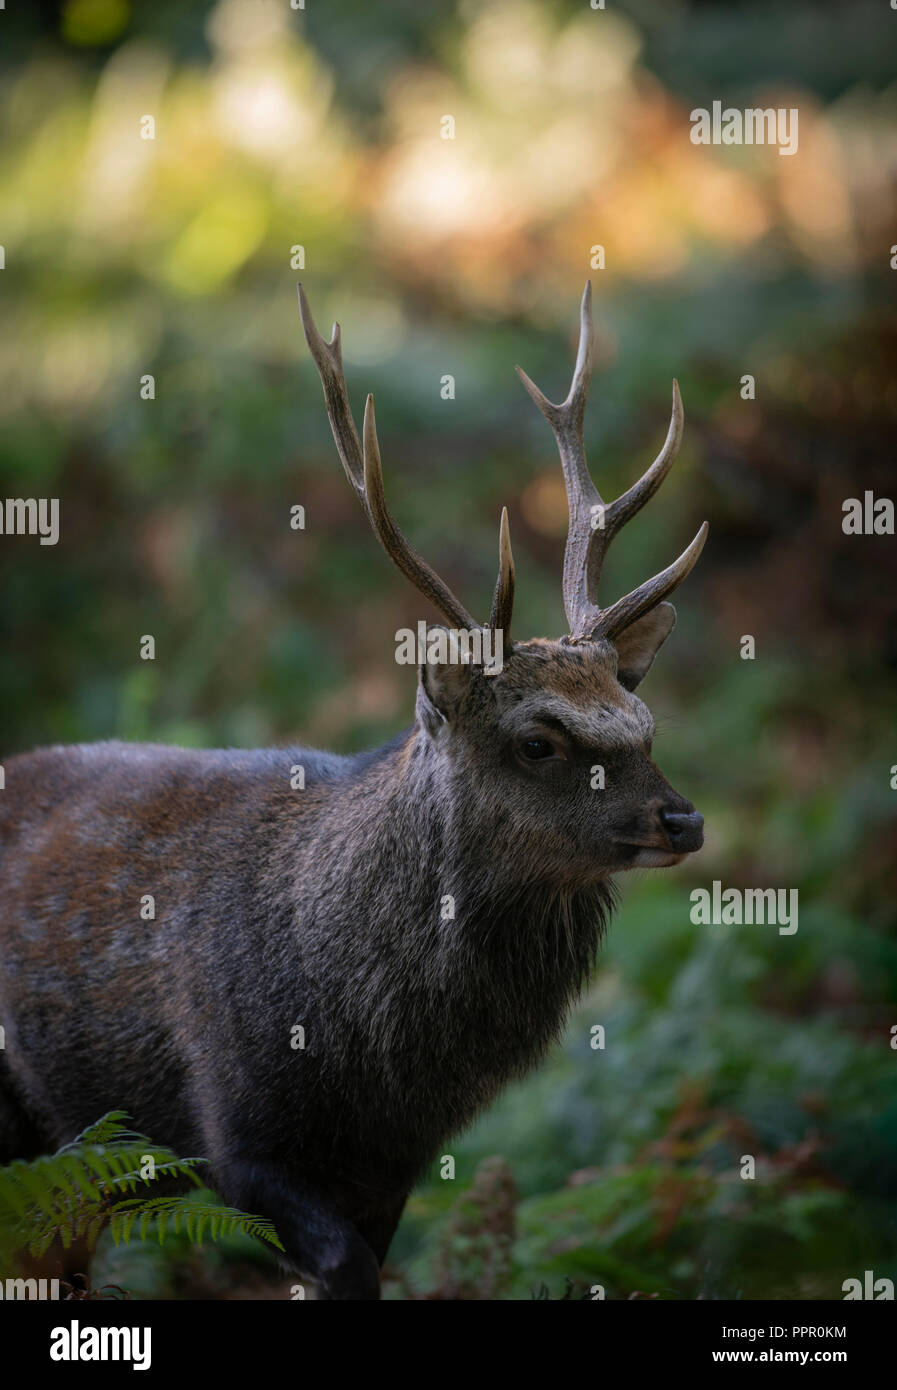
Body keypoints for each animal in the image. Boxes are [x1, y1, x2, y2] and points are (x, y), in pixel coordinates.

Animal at [0, 283, 707, 1299]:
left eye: (644, 725)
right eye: (538, 740)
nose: (681, 818)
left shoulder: (393, 1166)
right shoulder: (230, 1131)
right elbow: (340, 1267)